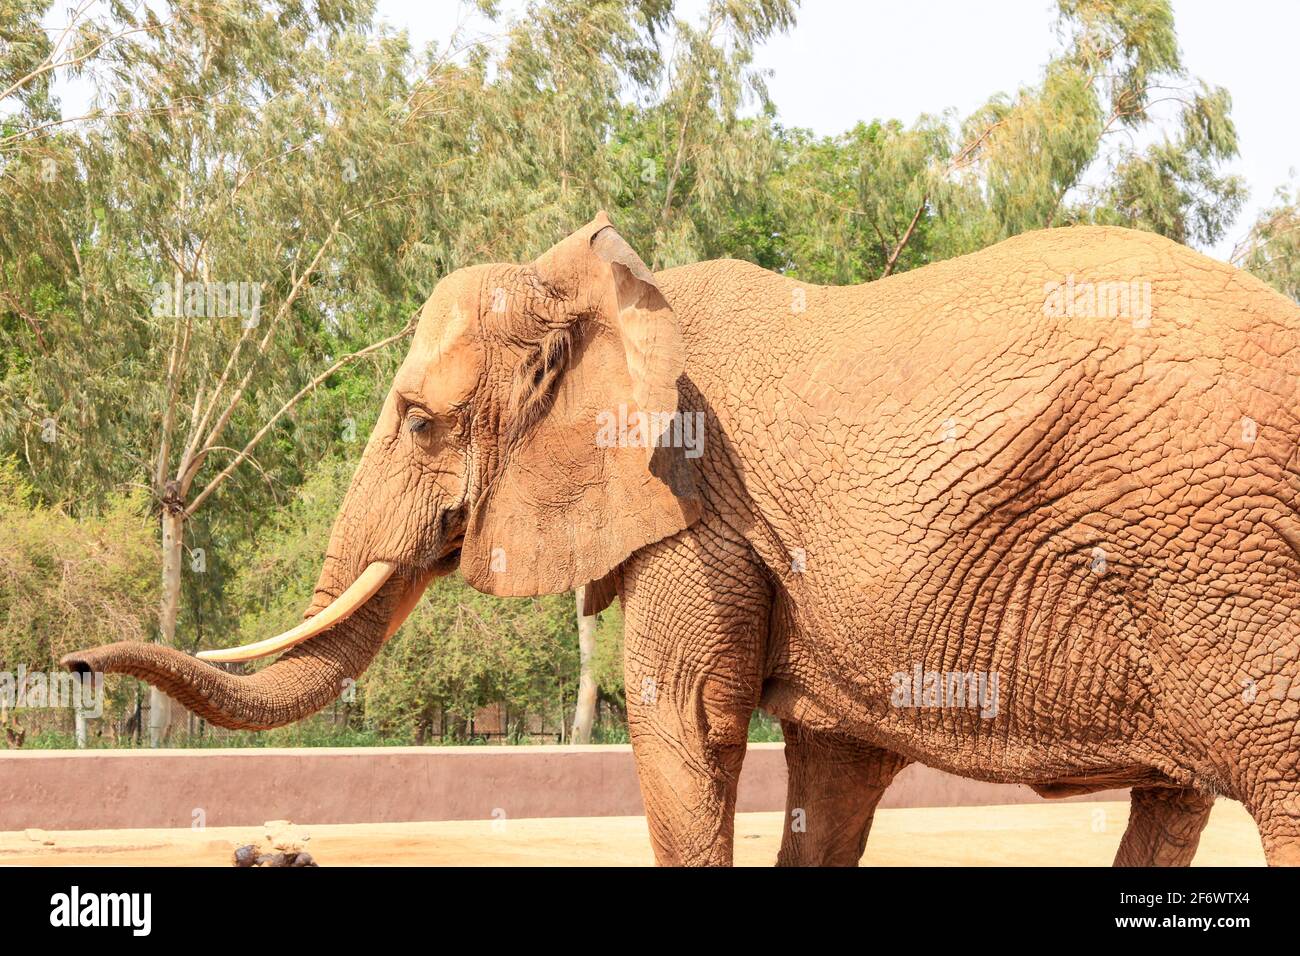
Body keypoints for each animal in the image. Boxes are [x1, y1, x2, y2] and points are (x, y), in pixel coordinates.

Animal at [65, 212, 1300, 866]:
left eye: (418, 419)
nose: (74, 663)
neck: (596, 283)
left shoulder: (697, 505)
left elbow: (685, 728)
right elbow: (830, 769)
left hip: (1222, 563)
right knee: (1174, 799)